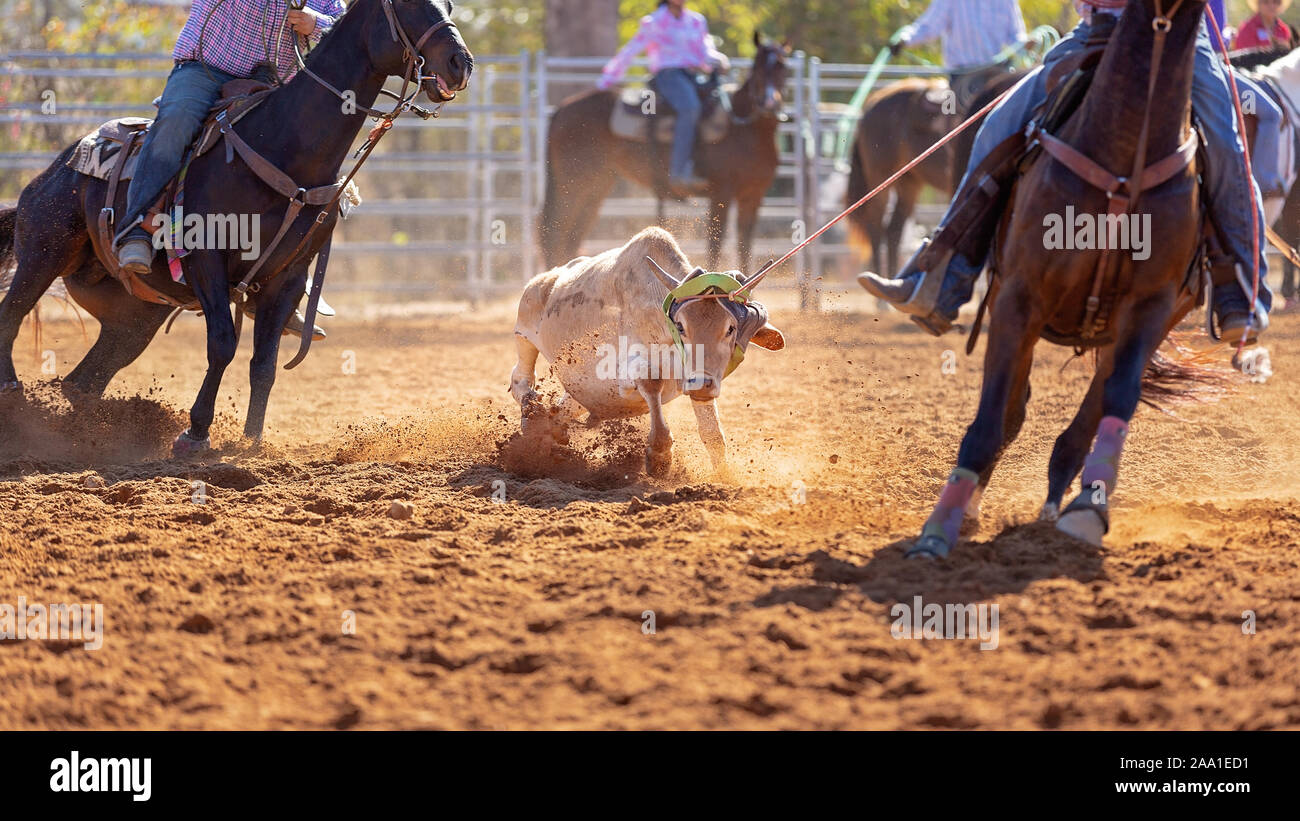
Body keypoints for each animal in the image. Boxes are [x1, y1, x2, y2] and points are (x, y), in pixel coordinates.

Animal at [510, 227, 785, 478]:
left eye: (730, 328)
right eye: (681, 326)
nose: (700, 383)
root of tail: (544, 280)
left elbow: (713, 434)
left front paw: (725, 477)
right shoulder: (626, 370)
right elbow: (651, 382)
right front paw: (660, 455)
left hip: (584, 391)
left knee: (563, 408)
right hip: (524, 331)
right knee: (520, 378)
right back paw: (531, 415)